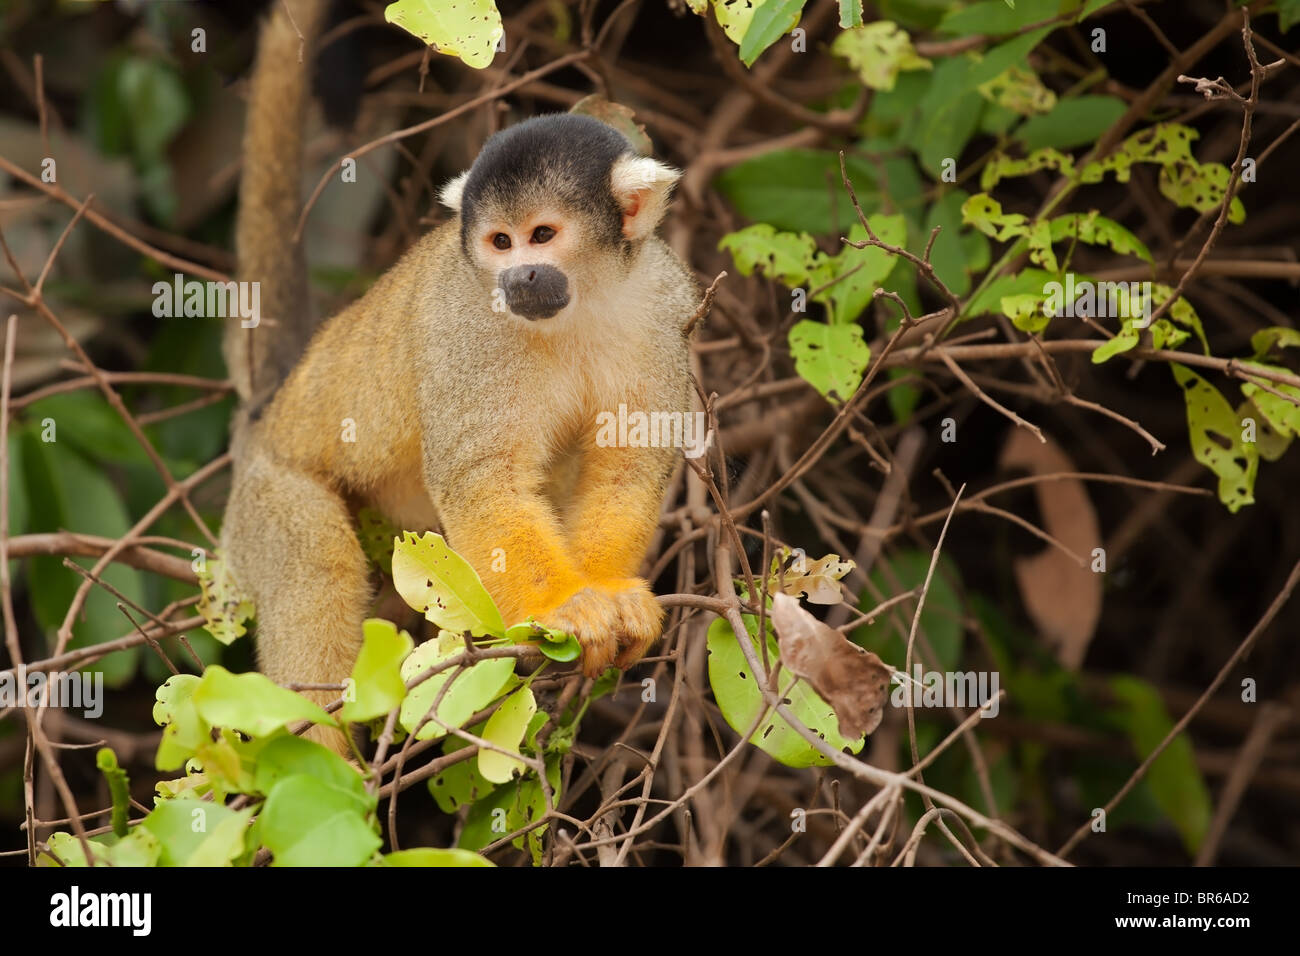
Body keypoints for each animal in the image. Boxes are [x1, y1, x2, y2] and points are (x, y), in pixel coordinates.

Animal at [220, 0, 698, 751]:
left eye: (541, 236)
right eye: (499, 243)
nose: (518, 277)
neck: (582, 303)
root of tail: (266, 411)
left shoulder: (661, 303)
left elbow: (627, 462)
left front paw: (614, 597)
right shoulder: (467, 321)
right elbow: (481, 479)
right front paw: (569, 606)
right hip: (265, 492)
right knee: (316, 567)